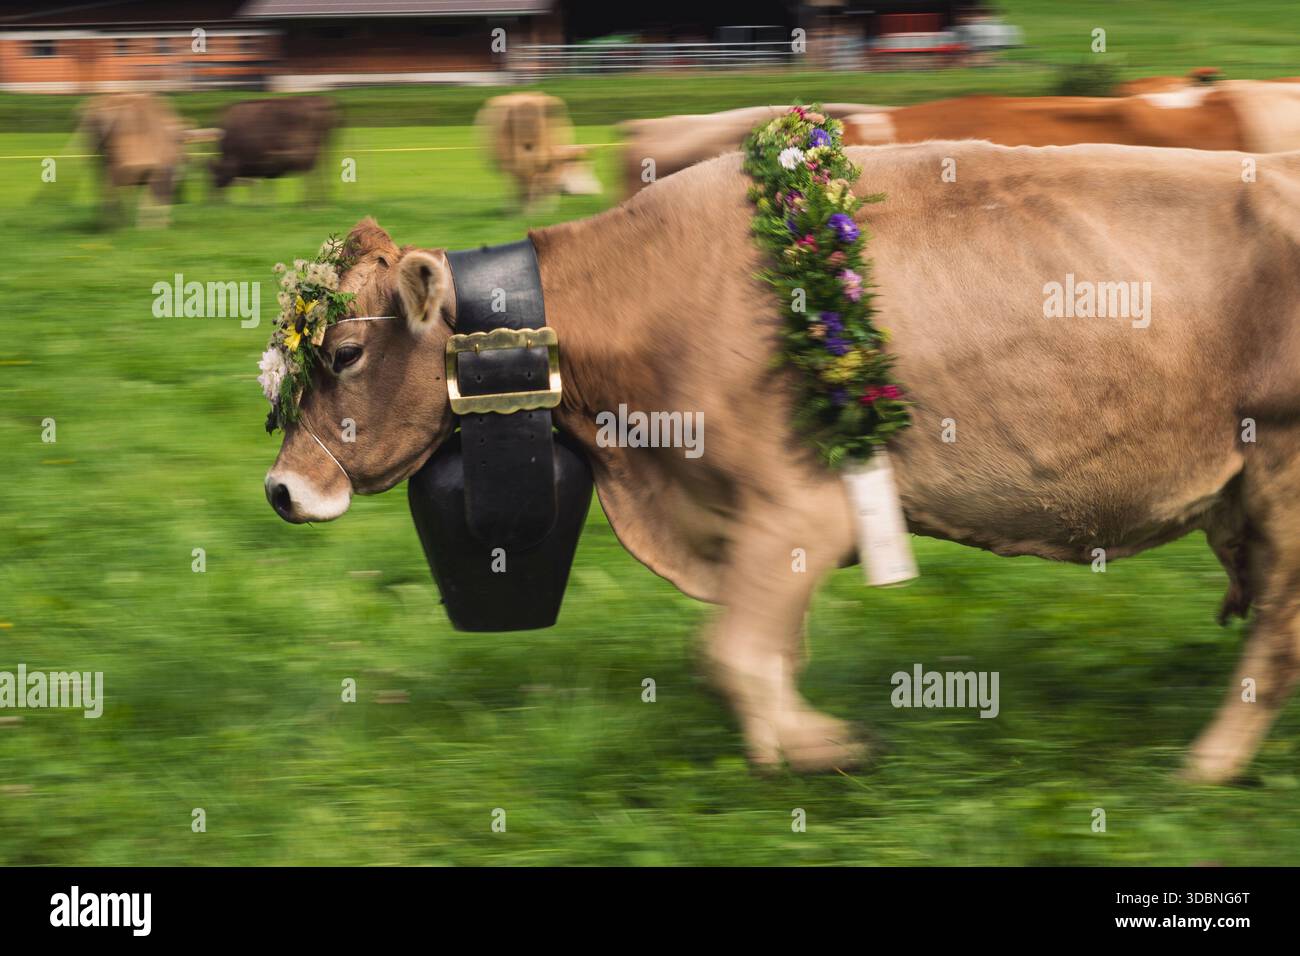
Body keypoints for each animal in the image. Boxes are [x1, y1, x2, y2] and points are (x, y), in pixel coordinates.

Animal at [211, 96, 340, 199]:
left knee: (313, 174)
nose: (217, 185)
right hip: (322, 148)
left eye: (218, 171)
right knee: (322, 171)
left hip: (310, 153)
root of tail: (321, 102)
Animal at [263, 141, 1300, 784]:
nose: (280, 489)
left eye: (344, 354)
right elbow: (756, 646)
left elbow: (732, 649)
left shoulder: (806, 507)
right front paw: (785, 741)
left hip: (1283, 471)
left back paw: (1208, 765)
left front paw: (814, 748)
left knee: (1279, 632)